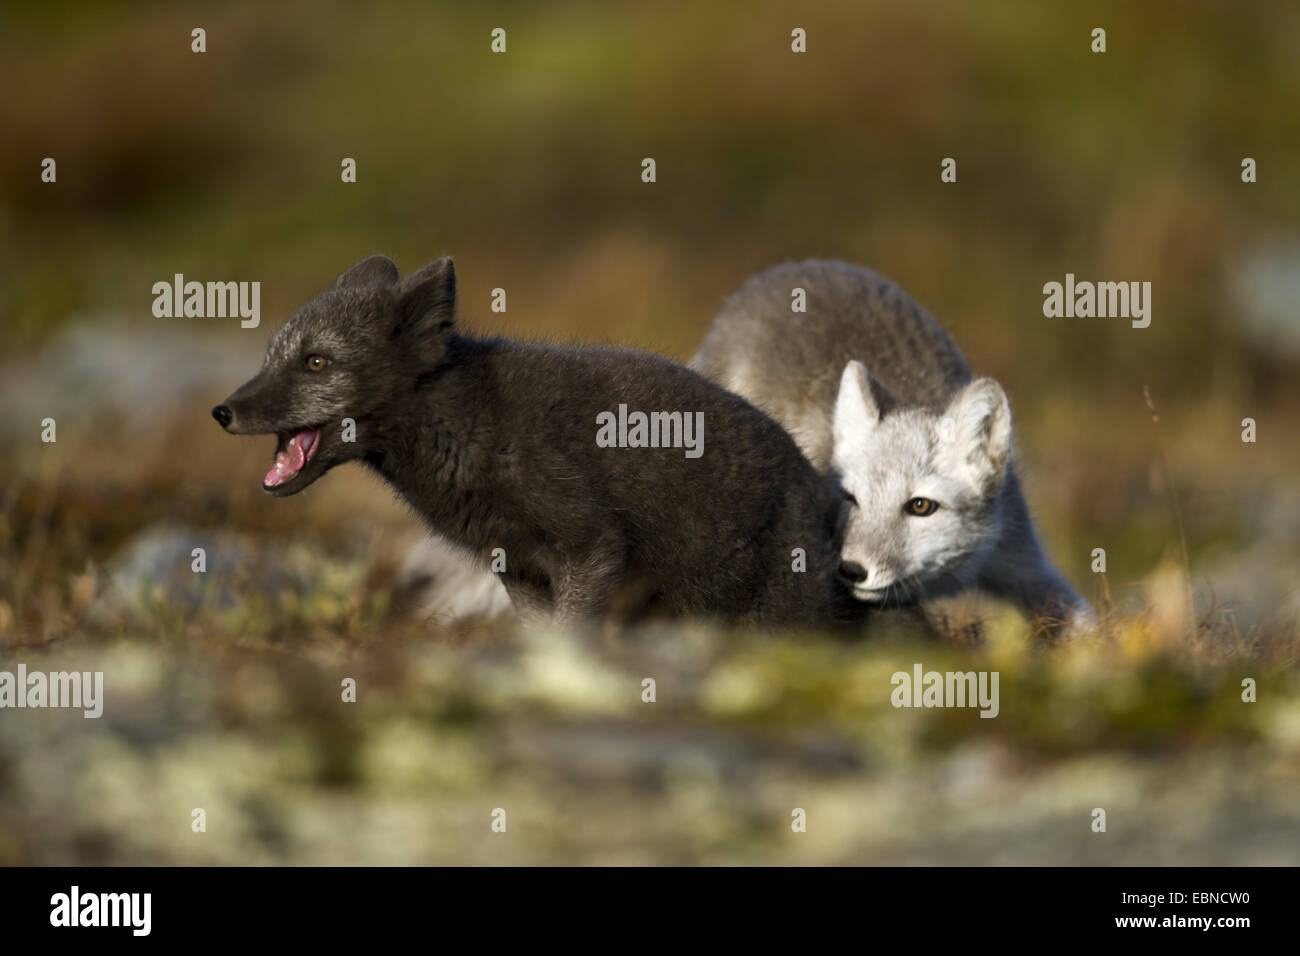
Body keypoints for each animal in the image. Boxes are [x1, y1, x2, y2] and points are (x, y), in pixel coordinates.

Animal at [212, 254, 860, 628]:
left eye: (317, 362)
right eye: (272, 356)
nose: (221, 411)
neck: (465, 421)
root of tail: (821, 488)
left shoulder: (589, 544)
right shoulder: (519, 568)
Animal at [693, 259, 1095, 637]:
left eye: (921, 506)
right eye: (850, 499)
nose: (851, 570)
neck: (945, 578)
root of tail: (786, 269)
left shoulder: (1020, 557)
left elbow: (1083, 622)